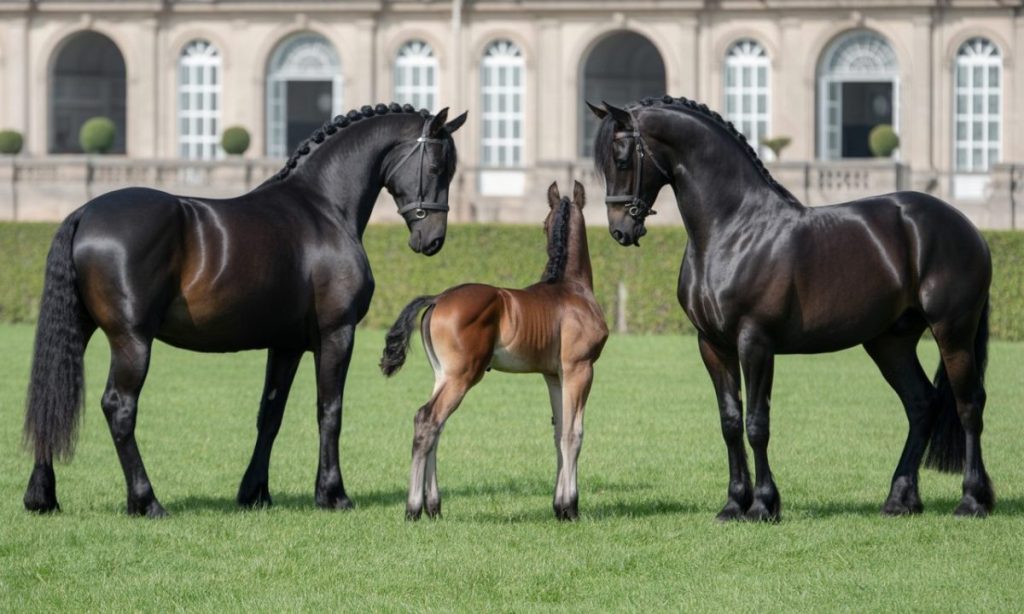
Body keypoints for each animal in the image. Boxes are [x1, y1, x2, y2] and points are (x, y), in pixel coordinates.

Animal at [23, 103, 468, 517]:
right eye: (437, 165)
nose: (432, 239)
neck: (323, 208)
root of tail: (85, 213)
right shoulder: (336, 334)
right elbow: (330, 411)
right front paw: (333, 494)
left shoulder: (286, 345)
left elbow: (270, 414)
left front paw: (255, 493)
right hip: (131, 340)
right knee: (120, 407)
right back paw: (146, 501)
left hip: (81, 330)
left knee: (50, 400)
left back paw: (42, 497)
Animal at [379, 181, 608, 521]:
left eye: (544, 224)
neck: (572, 289)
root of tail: (438, 298)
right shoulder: (580, 369)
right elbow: (573, 434)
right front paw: (571, 507)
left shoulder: (554, 376)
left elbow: (557, 434)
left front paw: (558, 506)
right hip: (463, 375)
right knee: (427, 420)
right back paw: (413, 508)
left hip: (443, 374)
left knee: (435, 426)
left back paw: (434, 507)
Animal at [588, 96, 993, 521]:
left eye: (621, 159)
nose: (620, 230)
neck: (733, 229)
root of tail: (968, 228)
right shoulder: (712, 345)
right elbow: (730, 422)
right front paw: (733, 503)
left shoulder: (755, 343)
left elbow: (757, 423)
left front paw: (763, 505)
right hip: (890, 342)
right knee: (921, 404)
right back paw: (901, 499)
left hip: (953, 332)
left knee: (968, 405)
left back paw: (971, 500)